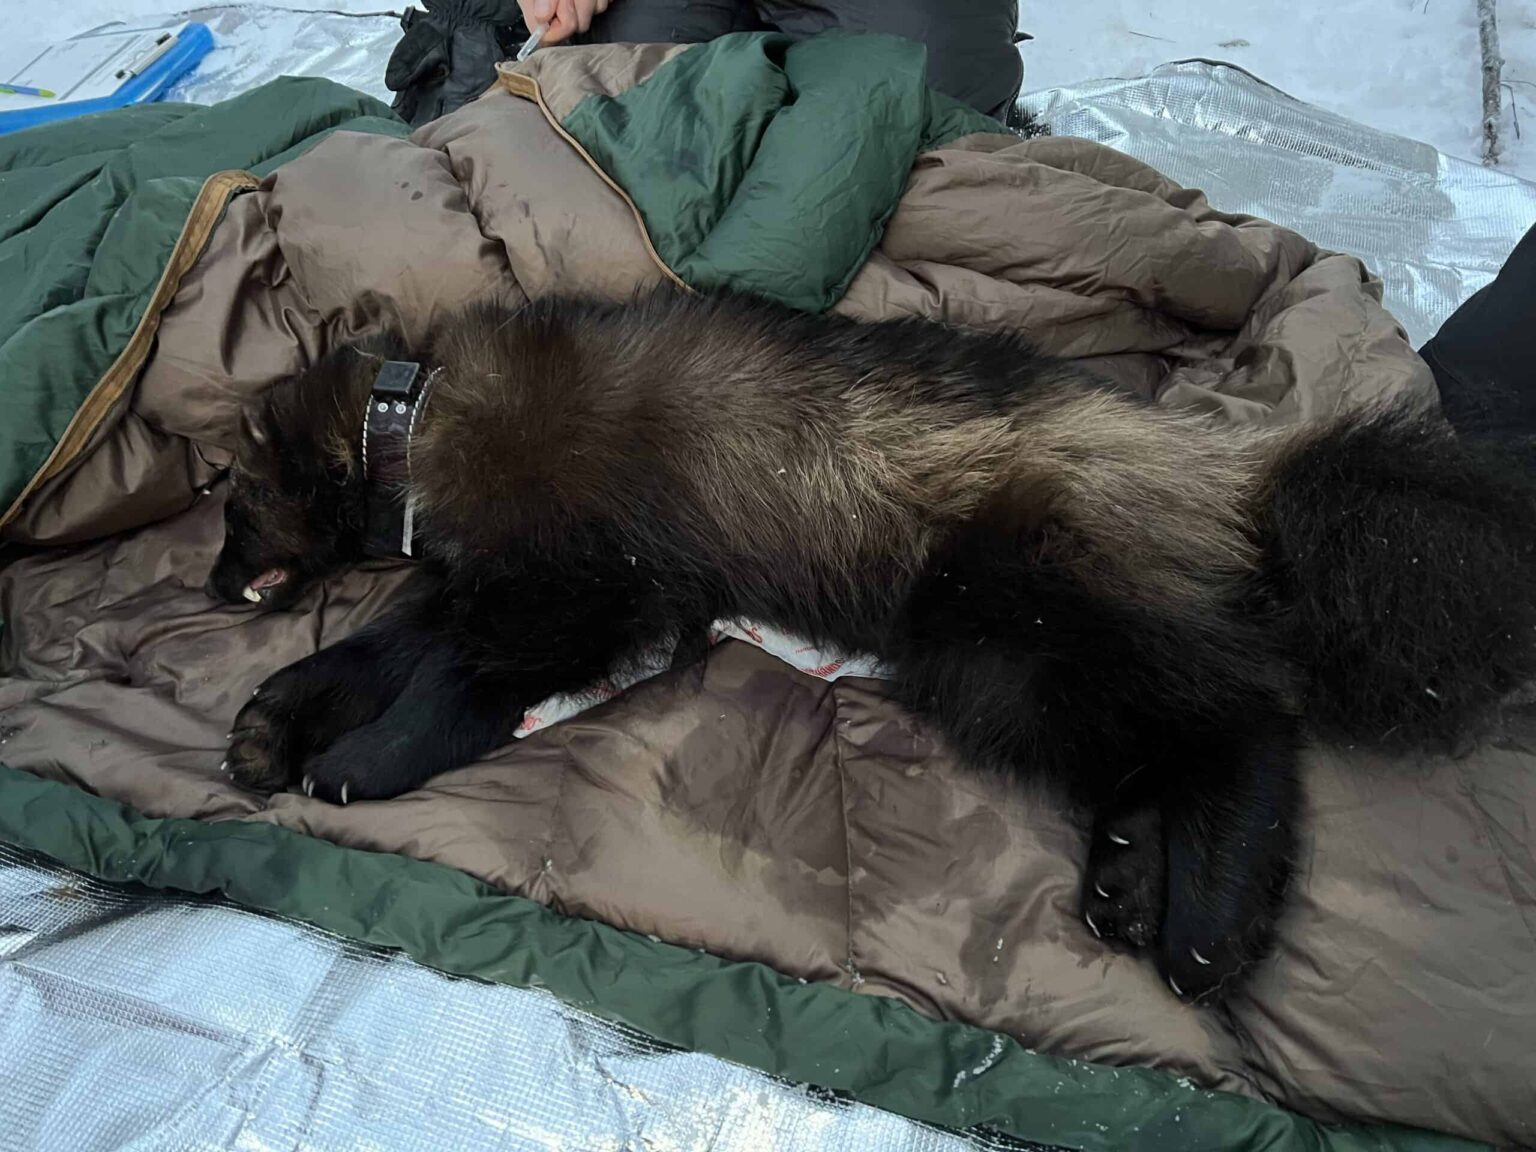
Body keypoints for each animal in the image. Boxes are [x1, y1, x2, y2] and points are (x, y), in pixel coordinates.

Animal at [206, 288, 1536, 1002]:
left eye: (225, 502)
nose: (215, 587)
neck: (414, 414)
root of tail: (1219, 470)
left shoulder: (591, 586)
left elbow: (462, 674)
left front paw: (363, 759)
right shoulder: (484, 579)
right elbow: (376, 647)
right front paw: (273, 720)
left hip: (1003, 619)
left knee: (1239, 719)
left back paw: (1208, 920)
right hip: (1027, 651)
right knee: (1162, 731)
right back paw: (1126, 872)